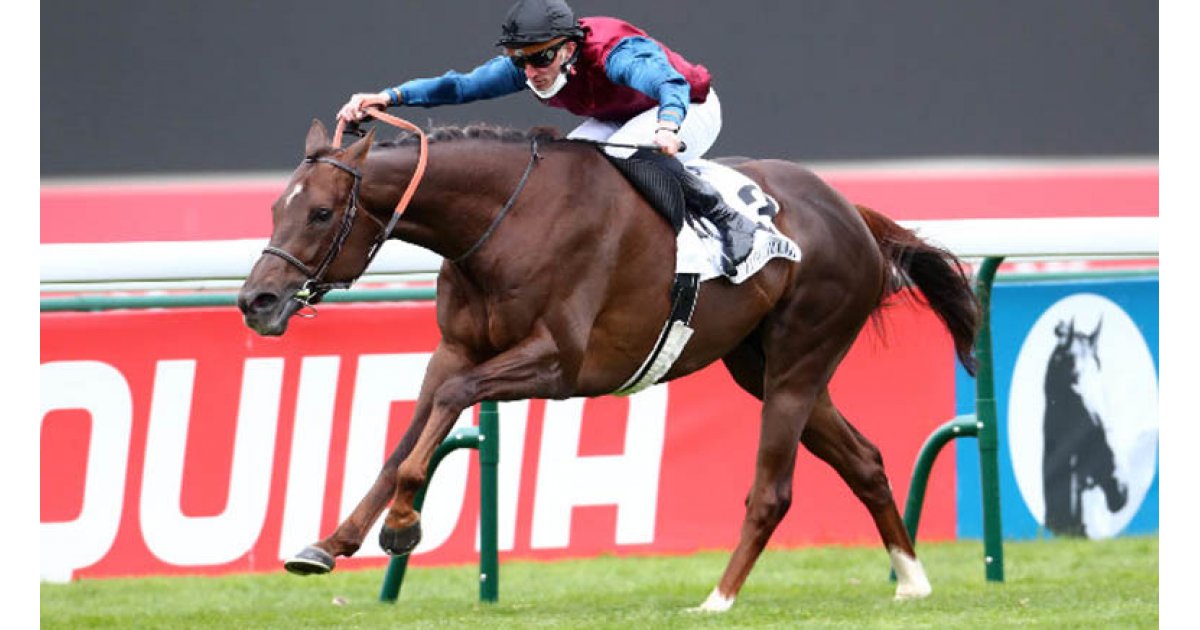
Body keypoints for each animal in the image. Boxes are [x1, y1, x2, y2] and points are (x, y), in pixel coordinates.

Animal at [237, 115, 981, 610]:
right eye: (274, 207)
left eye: (322, 212)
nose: (256, 301)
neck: (505, 220)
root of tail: (853, 211)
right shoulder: (453, 350)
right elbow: (408, 436)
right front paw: (329, 543)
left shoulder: (560, 364)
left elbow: (452, 403)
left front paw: (401, 524)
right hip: (763, 365)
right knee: (865, 460)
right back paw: (912, 580)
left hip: (800, 360)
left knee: (773, 489)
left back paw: (717, 600)